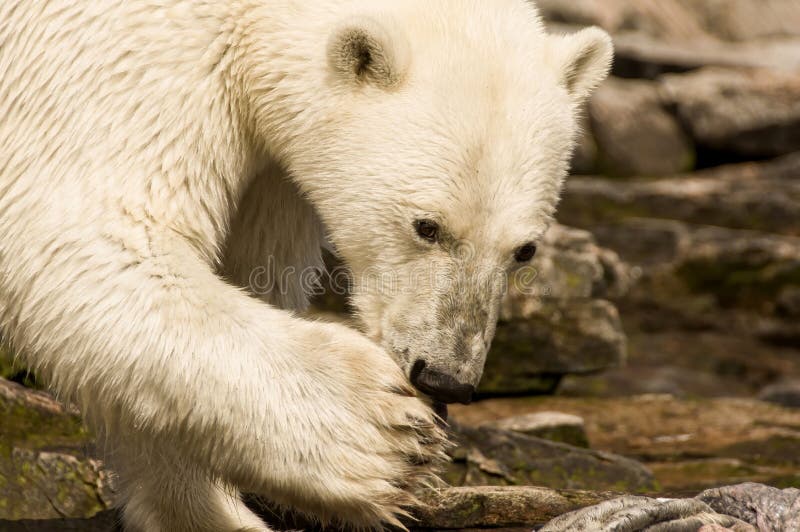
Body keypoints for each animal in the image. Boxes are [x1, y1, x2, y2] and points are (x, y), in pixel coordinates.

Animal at [0, 1, 612, 530]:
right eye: (426, 225)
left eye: (524, 250)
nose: (446, 377)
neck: (244, 14)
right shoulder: (125, 53)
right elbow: (83, 239)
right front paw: (385, 437)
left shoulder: (271, 174)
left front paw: (202, 511)